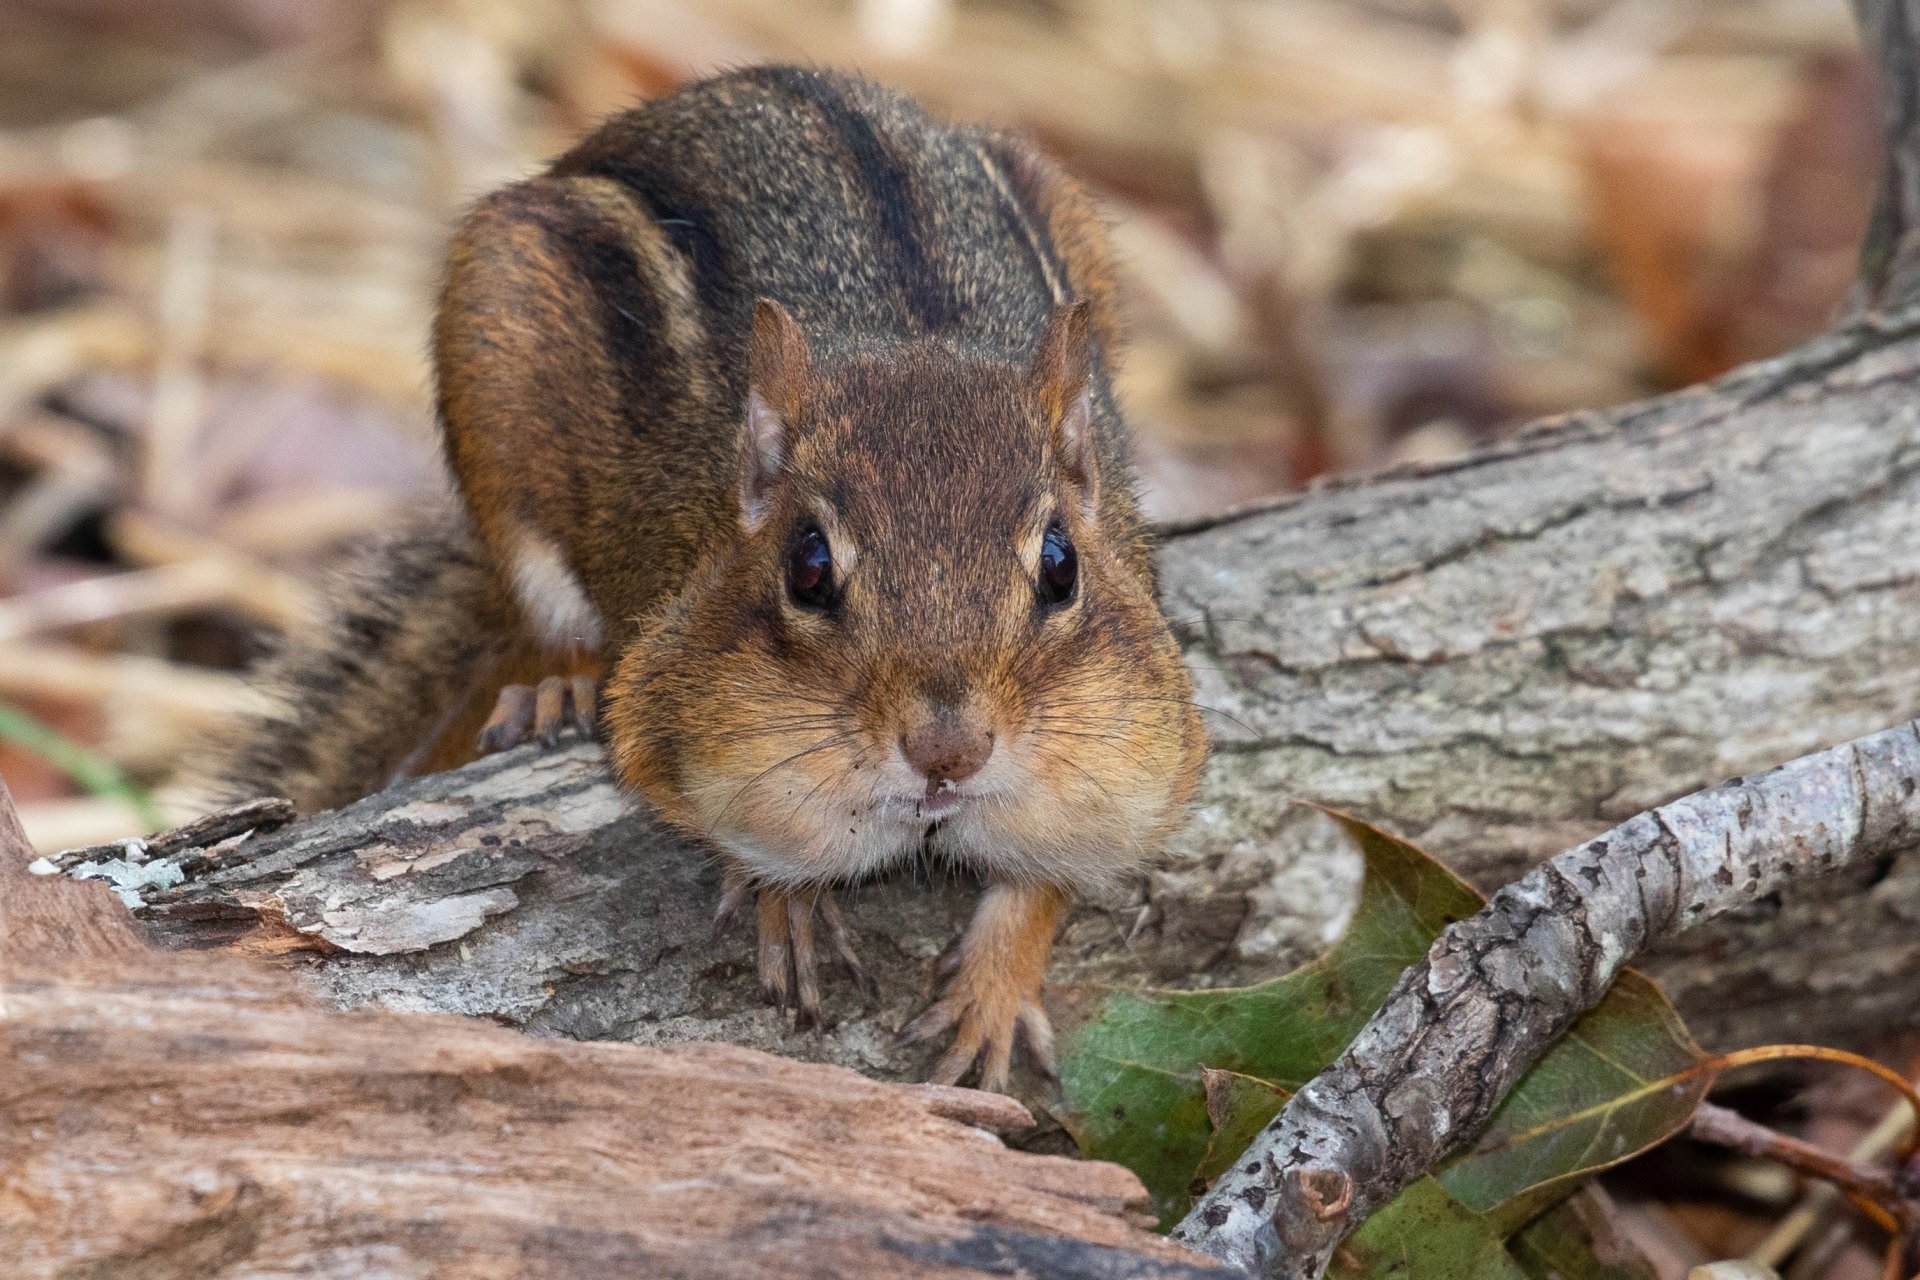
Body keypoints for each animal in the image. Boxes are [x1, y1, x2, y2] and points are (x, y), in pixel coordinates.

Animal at [198, 65, 1208, 1092]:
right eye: (808, 566)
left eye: (1061, 565)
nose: (947, 752)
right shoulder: (669, 698)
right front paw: (784, 899)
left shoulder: (1141, 756)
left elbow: (1055, 876)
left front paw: (994, 989)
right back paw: (559, 684)